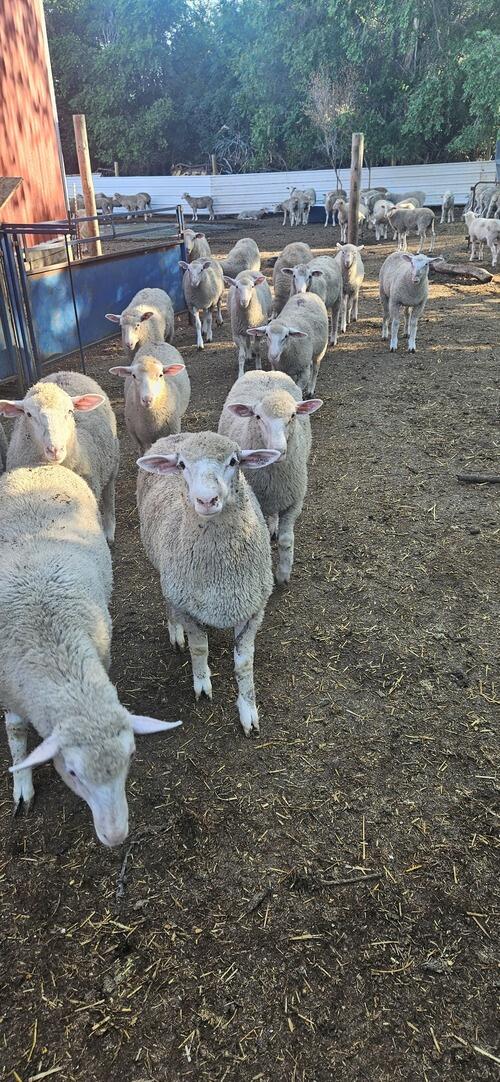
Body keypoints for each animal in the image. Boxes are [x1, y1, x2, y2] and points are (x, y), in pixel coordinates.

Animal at [0, 463, 180, 839]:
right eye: (72, 773)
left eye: (131, 757)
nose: (116, 835)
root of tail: (37, 466)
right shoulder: (9, 692)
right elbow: (16, 736)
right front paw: (22, 784)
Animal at [1, 371, 120, 543]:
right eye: (28, 414)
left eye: (70, 411)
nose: (55, 449)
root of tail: (64, 372)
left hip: (112, 462)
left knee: (109, 494)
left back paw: (110, 529)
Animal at [136, 430, 281, 735]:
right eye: (181, 465)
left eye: (234, 461)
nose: (206, 500)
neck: (219, 571)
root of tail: (176, 435)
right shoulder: (188, 606)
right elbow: (199, 648)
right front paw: (202, 685)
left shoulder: (252, 609)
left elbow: (244, 664)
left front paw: (248, 711)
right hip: (165, 572)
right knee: (167, 601)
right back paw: (175, 632)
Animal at [218, 370, 322, 583]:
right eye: (258, 417)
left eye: (292, 416)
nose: (278, 450)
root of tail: (267, 372)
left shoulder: (294, 502)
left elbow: (286, 540)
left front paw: (283, 573)